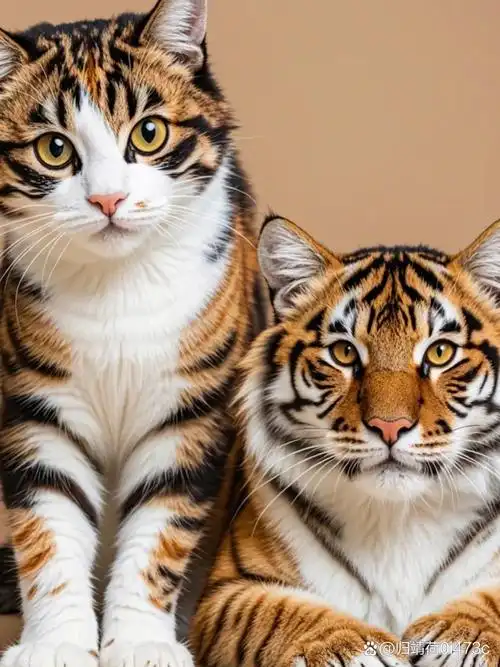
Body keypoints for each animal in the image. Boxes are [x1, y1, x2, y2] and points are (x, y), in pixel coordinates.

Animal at [0, 1, 266, 666]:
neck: (118, 287)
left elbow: (161, 533)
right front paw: (55, 644)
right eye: (54, 148)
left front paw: (143, 643)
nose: (108, 199)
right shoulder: (37, 407)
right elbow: (47, 528)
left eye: (148, 134)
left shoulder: (191, 412)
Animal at [190, 215, 500, 667]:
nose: (390, 426)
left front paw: (460, 638)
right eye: (344, 353)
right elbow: (280, 613)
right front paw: (355, 648)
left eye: (441, 352)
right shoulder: (228, 589)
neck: (397, 519)